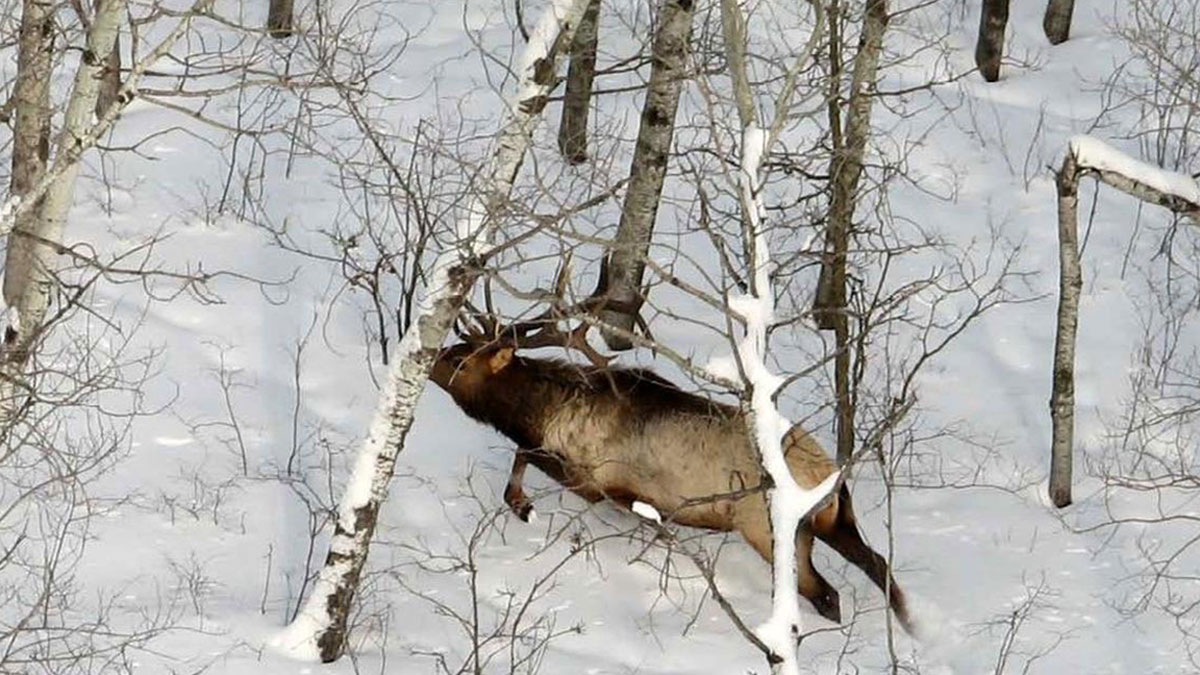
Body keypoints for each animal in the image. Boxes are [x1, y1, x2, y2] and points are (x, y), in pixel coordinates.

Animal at [428, 284, 914, 635]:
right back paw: (909, 625)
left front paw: (523, 505)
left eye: (461, 358)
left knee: (827, 593)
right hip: (834, 522)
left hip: (771, 529)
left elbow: (524, 454)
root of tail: (828, 474)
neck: (545, 413)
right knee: (877, 565)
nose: (429, 356)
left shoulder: (597, 481)